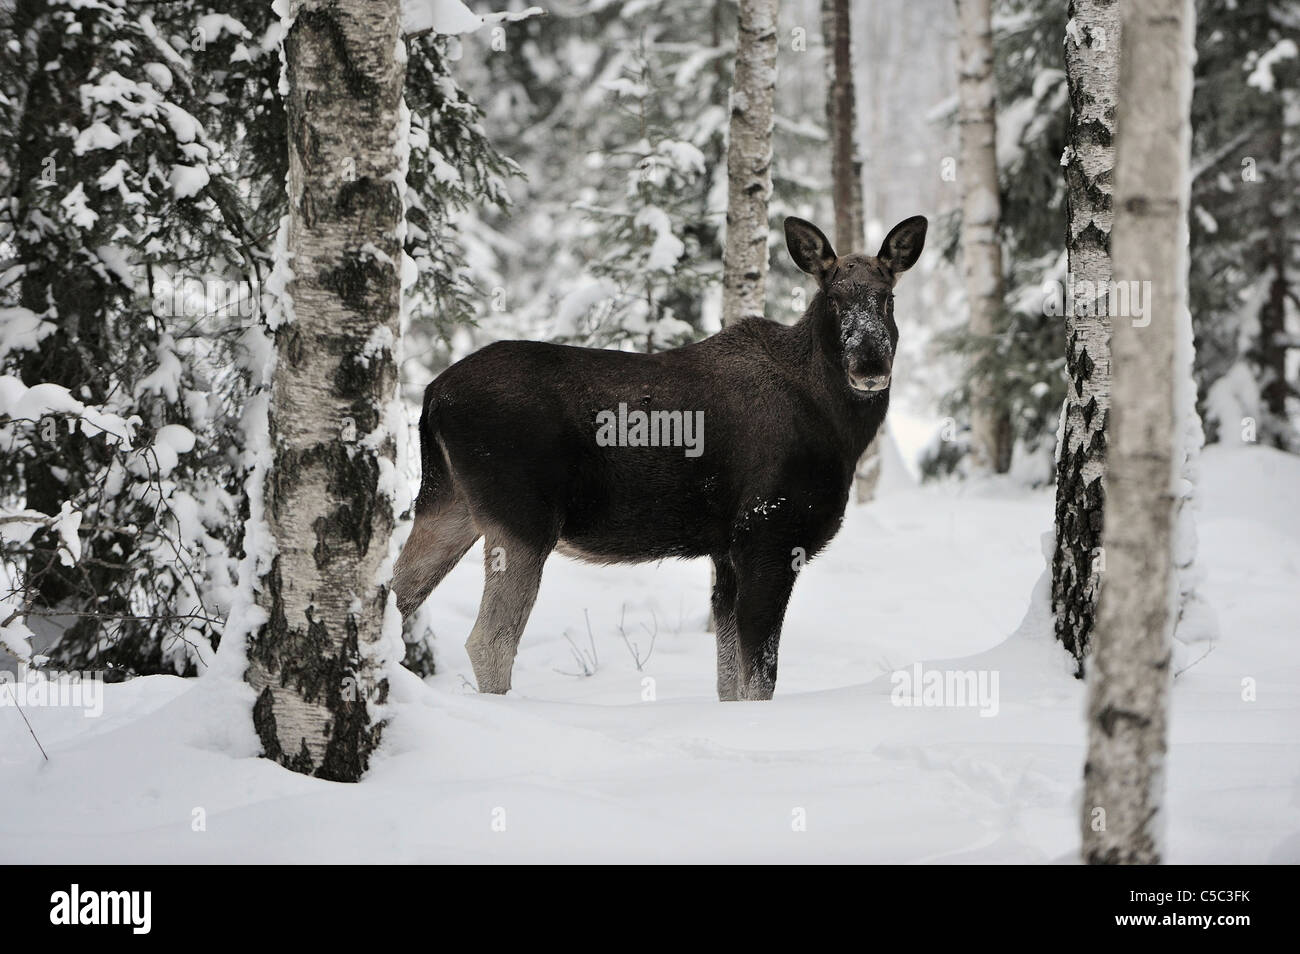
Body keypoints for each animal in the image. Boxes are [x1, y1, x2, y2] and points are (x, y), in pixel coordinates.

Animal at [393, 215, 928, 700]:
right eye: (834, 299)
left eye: (887, 298)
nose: (870, 366)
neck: (838, 428)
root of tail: (433, 396)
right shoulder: (768, 534)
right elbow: (760, 679)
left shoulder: (726, 551)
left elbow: (729, 680)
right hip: (522, 519)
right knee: (489, 642)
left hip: (448, 504)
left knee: (395, 595)